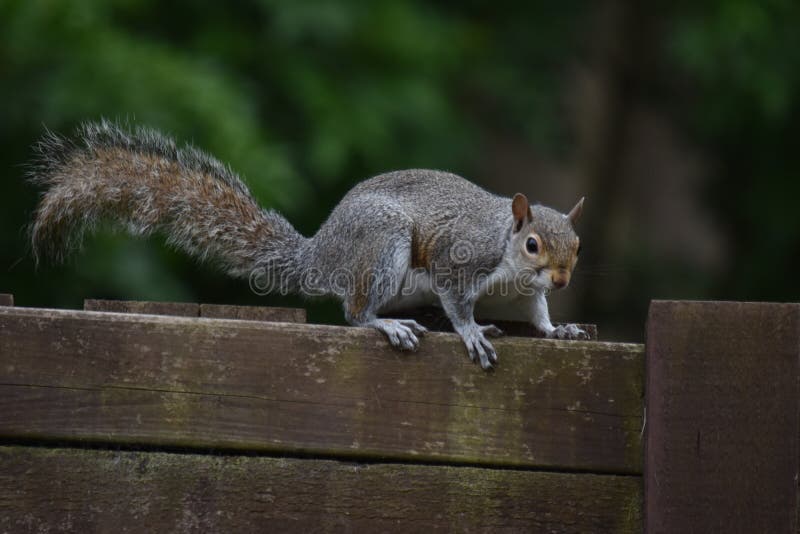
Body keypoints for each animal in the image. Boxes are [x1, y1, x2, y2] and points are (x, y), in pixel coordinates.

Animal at [27, 120, 587, 370]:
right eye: (532, 244)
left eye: (578, 246)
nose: (563, 280)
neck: (510, 265)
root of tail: (319, 254)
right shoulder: (461, 257)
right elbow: (457, 297)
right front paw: (470, 331)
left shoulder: (528, 295)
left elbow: (538, 315)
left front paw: (561, 329)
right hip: (382, 246)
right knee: (355, 312)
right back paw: (387, 323)